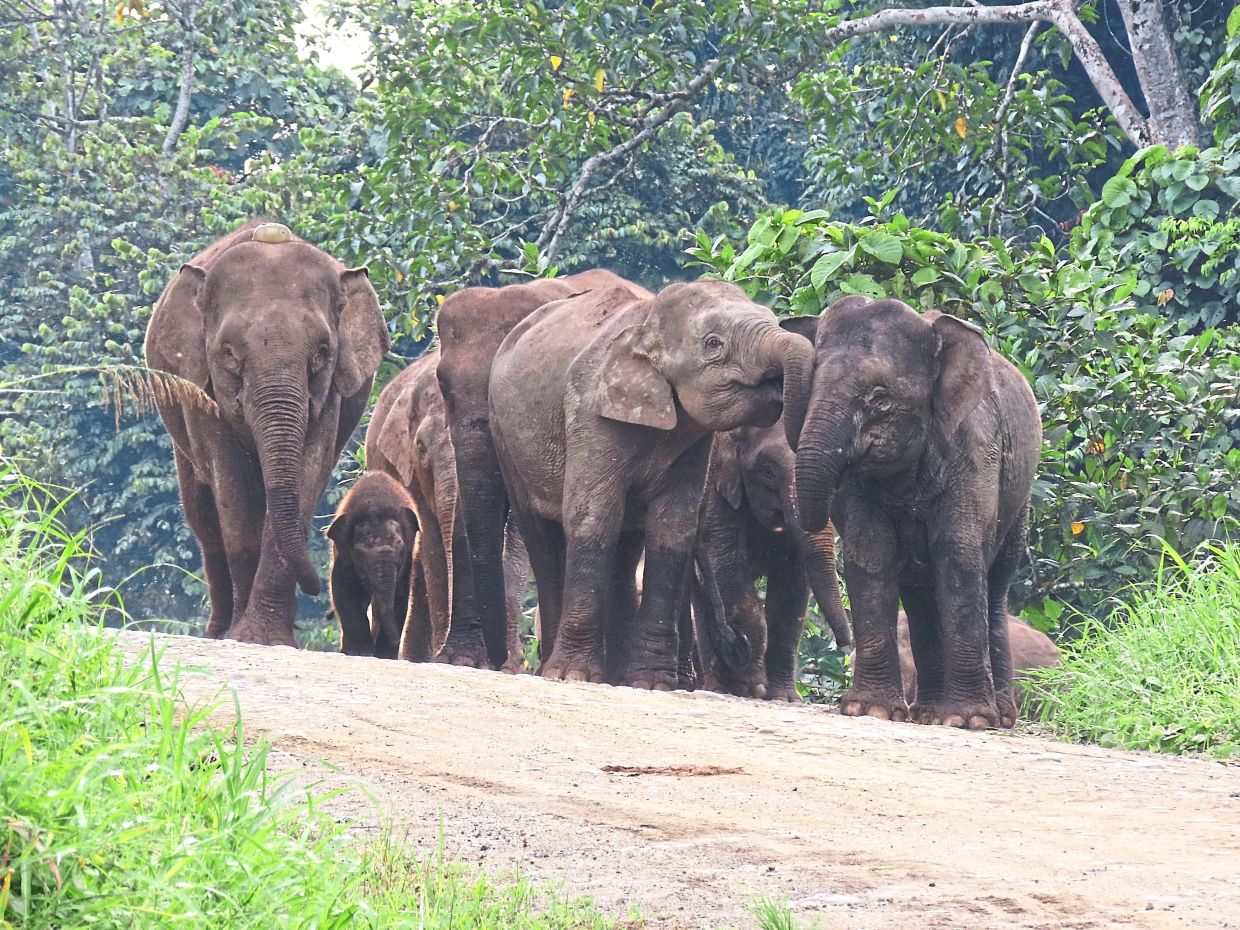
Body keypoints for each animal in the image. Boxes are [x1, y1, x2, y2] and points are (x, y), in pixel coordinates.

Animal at [145, 219, 389, 646]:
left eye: (322, 353)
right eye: (228, 355)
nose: (319, 596)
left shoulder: (330, 397)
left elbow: (307, 475)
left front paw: (269, 639)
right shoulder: (202, 390)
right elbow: (233, 492)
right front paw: (243, 638)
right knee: (204, 518)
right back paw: (218, 632)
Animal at [326, 472, 417, 659]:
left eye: (400, 551)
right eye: (360, 555)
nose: (397, 642)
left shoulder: (407, 562)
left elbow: (400, 594)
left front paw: (384, 655)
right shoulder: (344, 556)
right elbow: (343, 589)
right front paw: (361, 652)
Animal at [489, 280, 814, 690]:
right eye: (713, 343)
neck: (646, 324)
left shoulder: (694, 444)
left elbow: (673, 527)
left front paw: (653, 683)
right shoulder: (588, 412)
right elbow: (592, 517)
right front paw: (575, 676)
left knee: (626, 546)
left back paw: (615, 676)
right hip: (506, 440)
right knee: (541, 538)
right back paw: (556, 668)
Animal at [695, 321, 852, 701]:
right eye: (767, 471)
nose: (846, 646)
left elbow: (791, 592)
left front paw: (782, 697)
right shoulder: (713, 487)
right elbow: (725, 566)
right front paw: (751, 688)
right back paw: (715, 684)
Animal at [788, 296, 1041, 729]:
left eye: (880, 399)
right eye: (809, 383)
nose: (842, 642)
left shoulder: (976, 451)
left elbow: (958, 554)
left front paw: (969, 721)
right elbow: (871, 554)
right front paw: (869, 711)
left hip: (1018, 502)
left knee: (996, 583)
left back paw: (998, 717)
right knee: (922, 595)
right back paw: (927, 713)